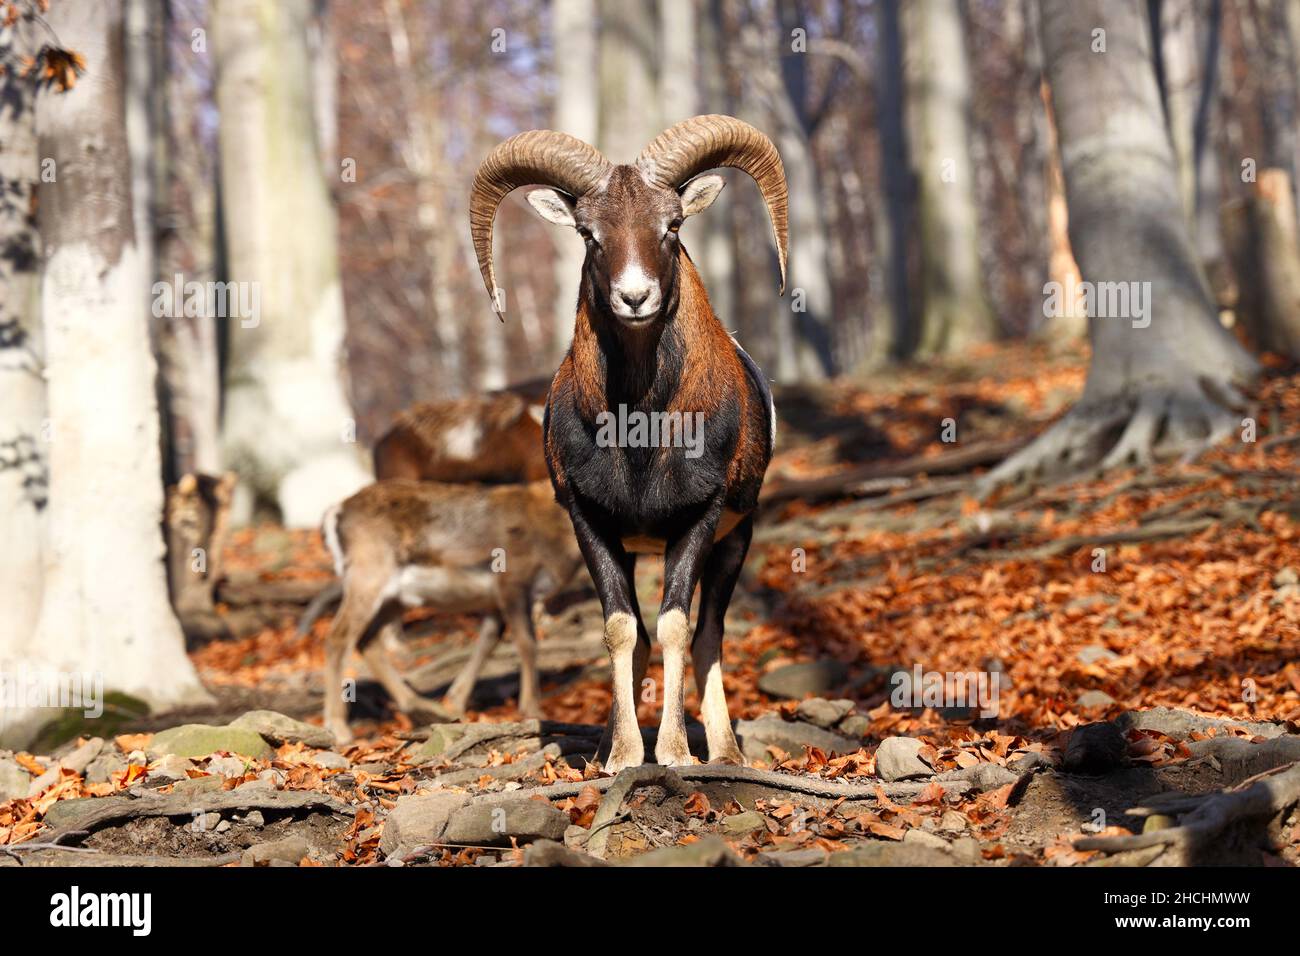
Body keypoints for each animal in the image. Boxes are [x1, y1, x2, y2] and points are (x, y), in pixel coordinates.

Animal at [320, 479, 584, 743]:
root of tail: (335, 513)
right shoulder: (512, 582)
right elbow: (527, 642)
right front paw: (533, 710)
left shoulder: (495, 600)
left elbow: (489, 640)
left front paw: (455, 703)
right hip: (368, 576)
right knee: (339, 636)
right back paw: (339, 728)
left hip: (396, 598)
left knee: (367, 640)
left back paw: (425, 709)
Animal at [469, 114, 786, 772]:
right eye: (589, 234)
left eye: (672, 225)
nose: (635, 297)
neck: (639, 434)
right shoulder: (591, 524)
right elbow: (623, 631)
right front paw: (618, 757)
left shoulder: (699, 521)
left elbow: (676, 628)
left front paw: (674, 755)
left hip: (734, 542)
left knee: (709, 633)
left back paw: (725, 752)